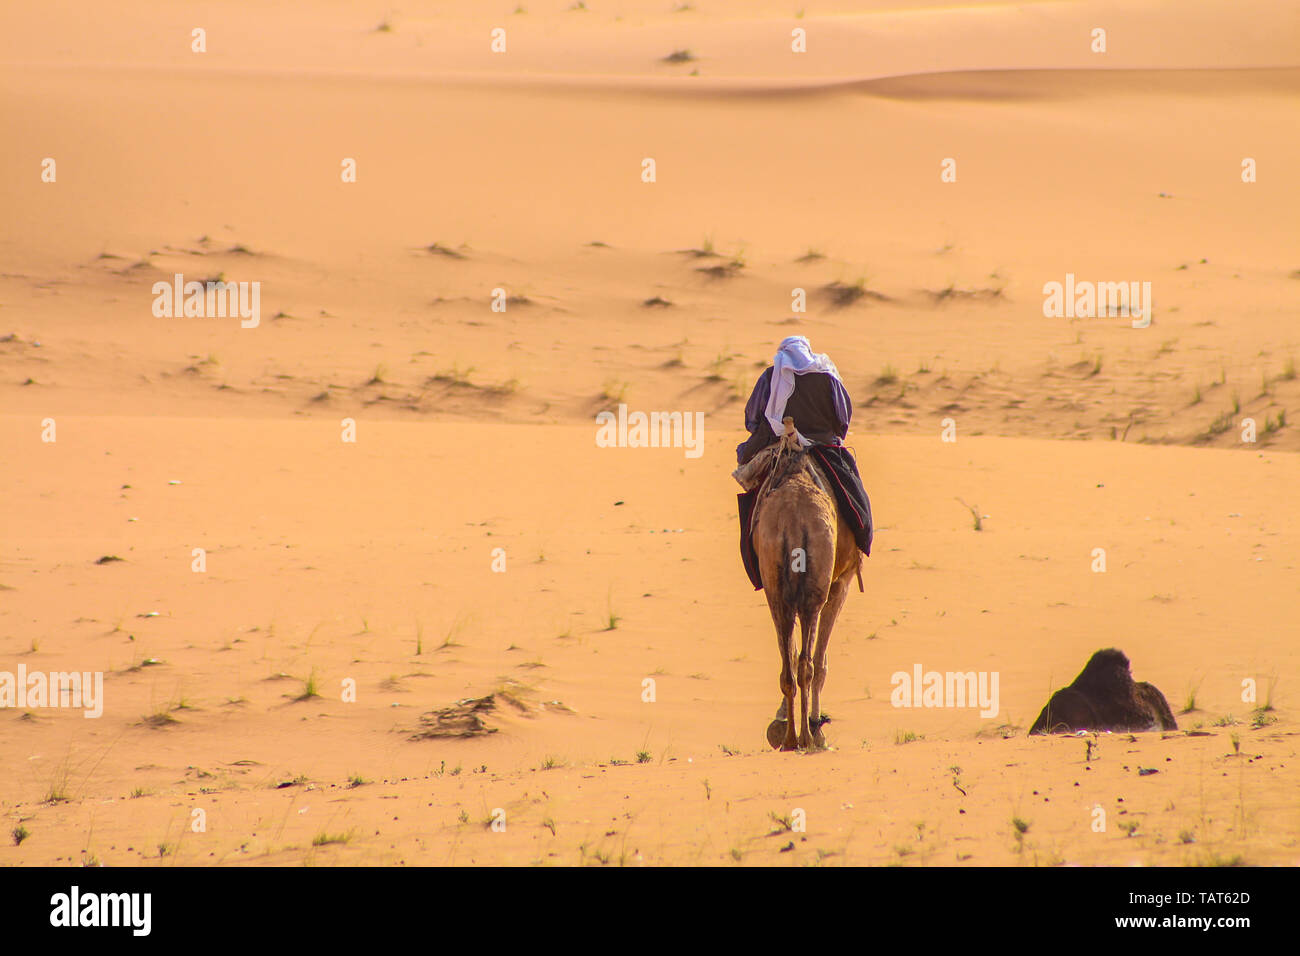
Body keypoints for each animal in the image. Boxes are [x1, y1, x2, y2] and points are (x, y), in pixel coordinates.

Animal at [749, 418, 861, 751]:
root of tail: (795, 517)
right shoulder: (842, 582)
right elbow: (821, 661)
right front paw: (817, 727)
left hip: (776, 588)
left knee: (789, 665)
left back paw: (790, 738)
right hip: (816, 589)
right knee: (807, 665)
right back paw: (809, 736)